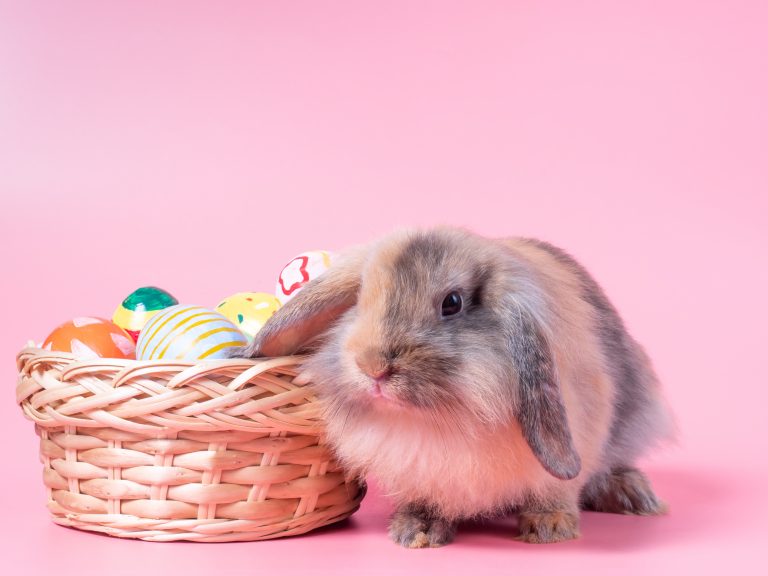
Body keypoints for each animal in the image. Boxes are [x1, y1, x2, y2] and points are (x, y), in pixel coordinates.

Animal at [237, 227, 674, 547]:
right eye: (360, 300)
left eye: (452, 303)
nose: (373, 367)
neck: (437, 421)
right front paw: (416, 531)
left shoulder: (577, 435)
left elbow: (556, 489)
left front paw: (550, 528)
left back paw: (632, 495)